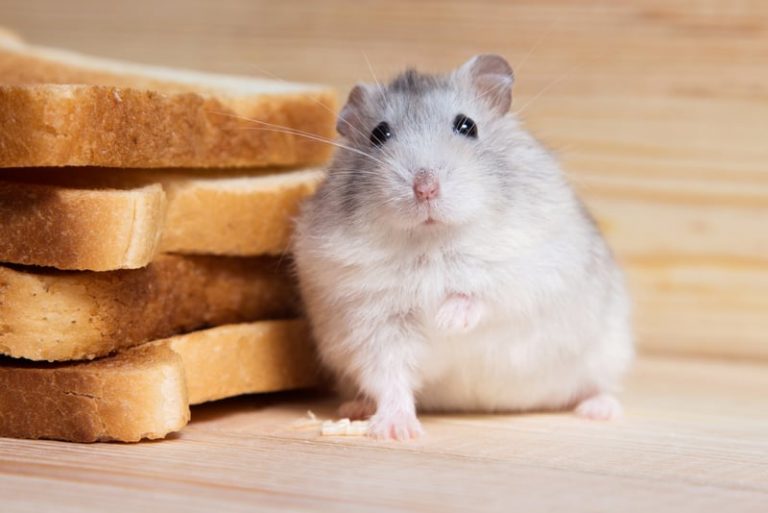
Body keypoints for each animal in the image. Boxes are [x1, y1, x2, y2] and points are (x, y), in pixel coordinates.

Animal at [293, 55, 633, 440]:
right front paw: (396, 431)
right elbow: (389, 376)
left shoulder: (531, 272)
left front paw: (445, 320)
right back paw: (356, 408)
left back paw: (599, 410)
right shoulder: (369, 321)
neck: (432, 241)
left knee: (598, 384)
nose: (425, 188)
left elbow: (481, 294)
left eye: (467, 126)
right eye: (379, 134)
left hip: (609, 349)